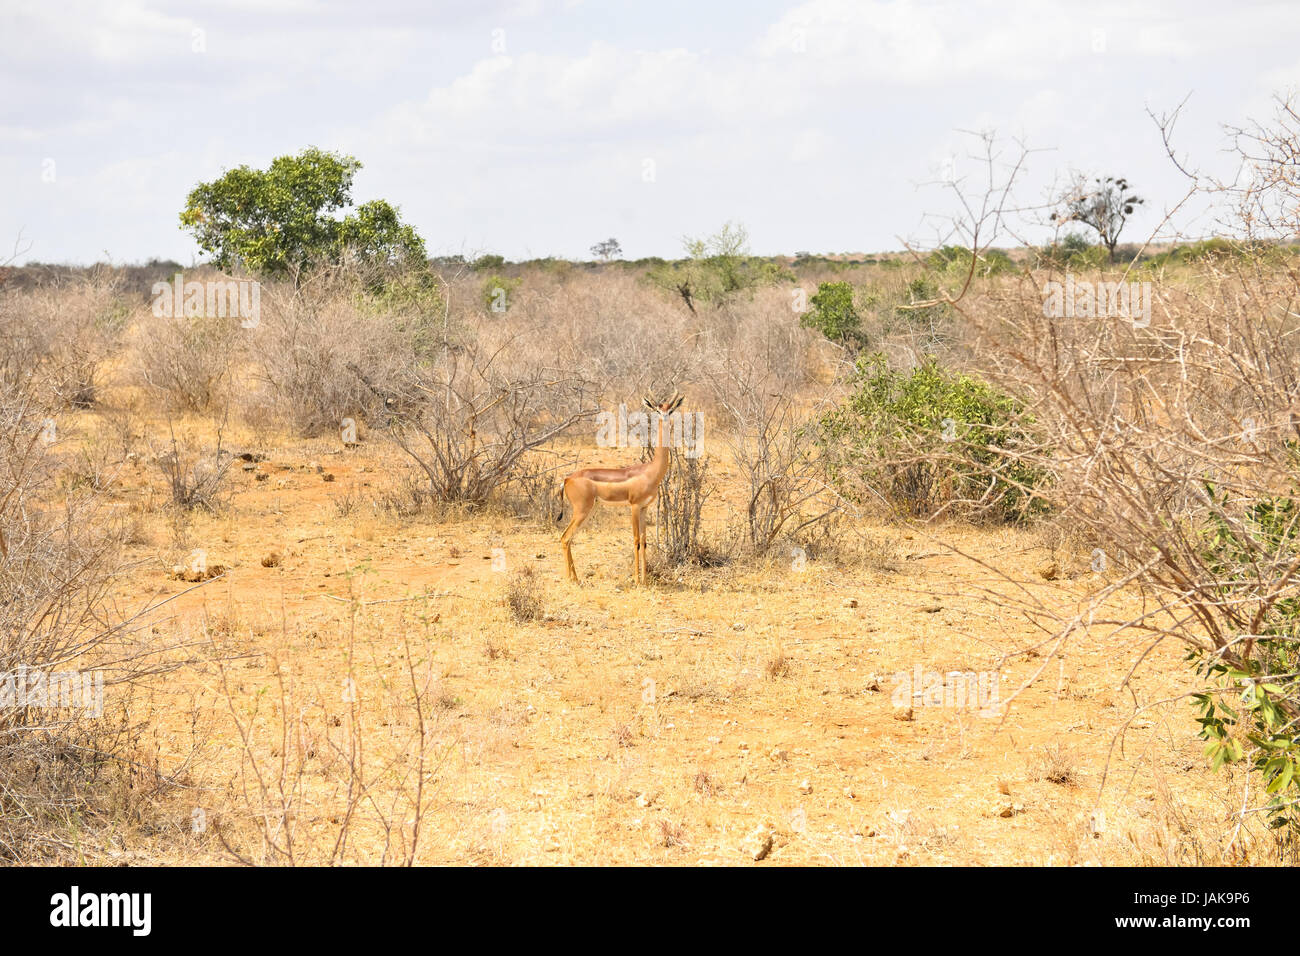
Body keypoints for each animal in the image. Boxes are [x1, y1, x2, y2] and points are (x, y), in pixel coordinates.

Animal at [559, 393, 684, 585]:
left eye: (670, 410)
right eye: (657, 409)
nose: (664, 417)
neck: (650, 471)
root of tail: (567, 479)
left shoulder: (644, 508)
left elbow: (644, 541)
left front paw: (645, 580)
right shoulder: (633, 506)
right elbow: (636, 540)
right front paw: (637, 581)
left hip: (588, 510)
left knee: (569, 538)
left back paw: (576, 578)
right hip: (581, 510)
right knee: (565, 537)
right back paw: (571, 580)